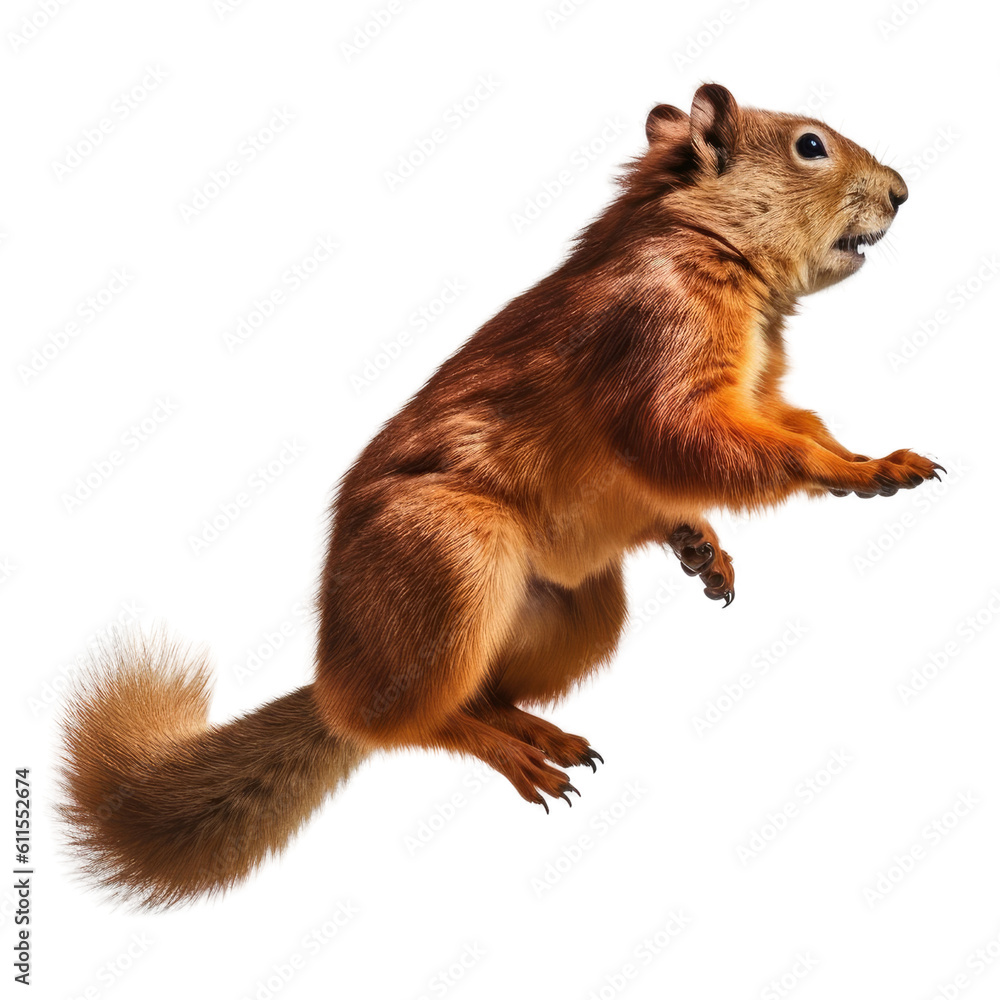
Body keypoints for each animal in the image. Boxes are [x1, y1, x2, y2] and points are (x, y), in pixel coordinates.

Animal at [59, 83, 943, 908]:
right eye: (810, 146)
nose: (902, 191)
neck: (701, 238)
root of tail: (343, 683)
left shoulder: (760, 391)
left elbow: (797, 424)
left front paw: (860, 466)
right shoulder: (655, 335)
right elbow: (701, 441)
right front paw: (850, 476)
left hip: (578, 619)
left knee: (483, 693)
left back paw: (542, 726)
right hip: (451, 557)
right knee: (418, 722)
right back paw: (517, 757)